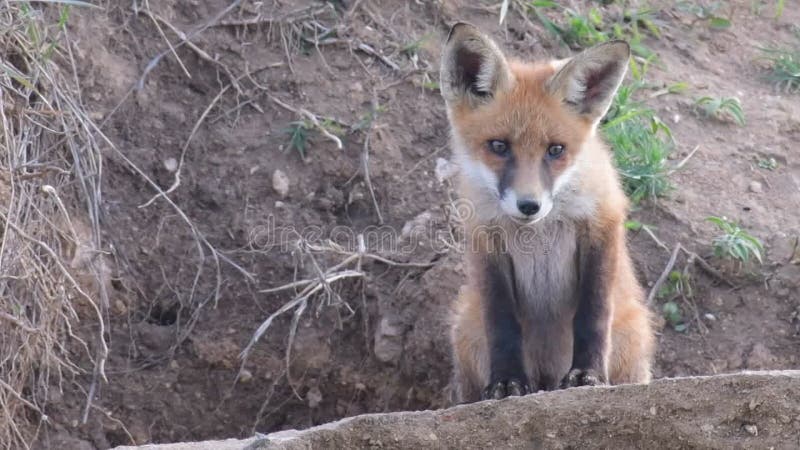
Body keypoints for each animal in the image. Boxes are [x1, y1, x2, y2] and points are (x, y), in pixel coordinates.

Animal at [439, 23, 655, 403]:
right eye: (499, 146)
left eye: (555, 150)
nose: (529, 205)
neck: (538, 229)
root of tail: (546, 375)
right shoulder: (485, 237)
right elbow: (502, 322)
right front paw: (507, 381)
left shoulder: (602, 223)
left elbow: (593, 314)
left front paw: (587, 375)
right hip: (466, 326)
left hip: (633, 337)